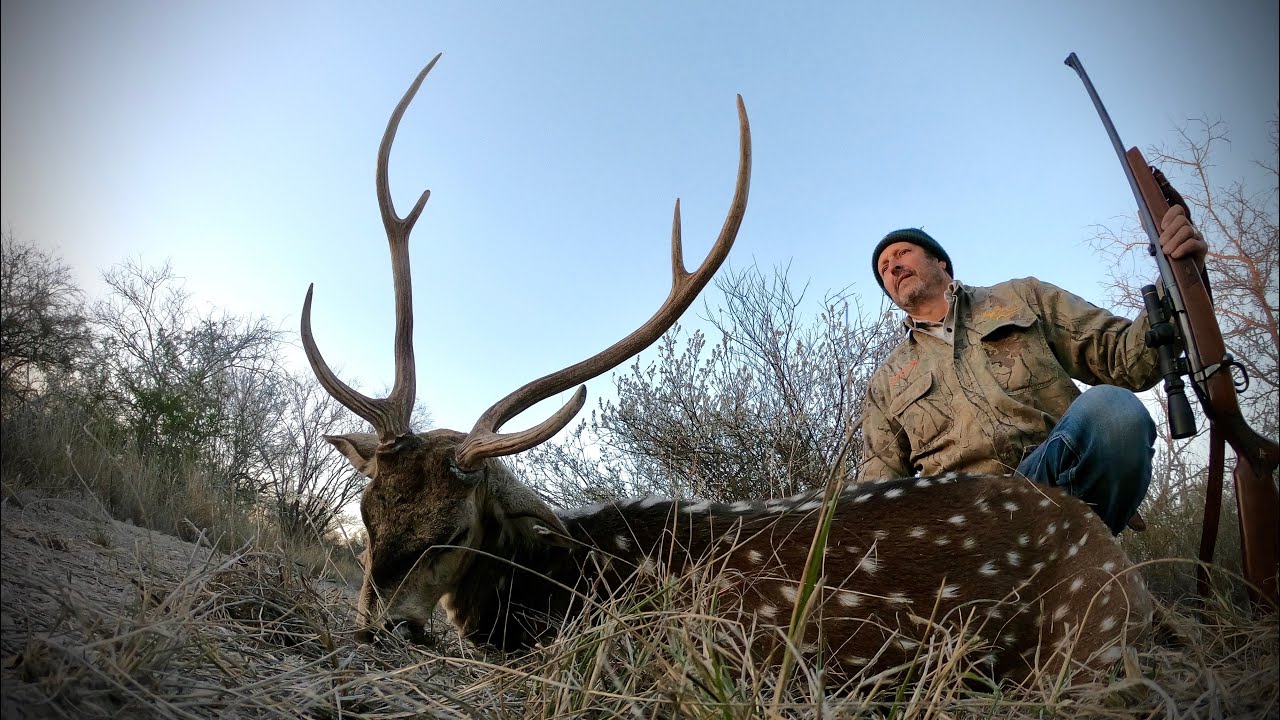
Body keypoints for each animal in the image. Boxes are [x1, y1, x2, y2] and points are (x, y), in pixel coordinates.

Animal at [301, 54, 1155, 683]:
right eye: (366, 514)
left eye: (452, 531)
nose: (375, 631)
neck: (560, 583)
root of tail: (1111, 549)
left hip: (1086, 638)